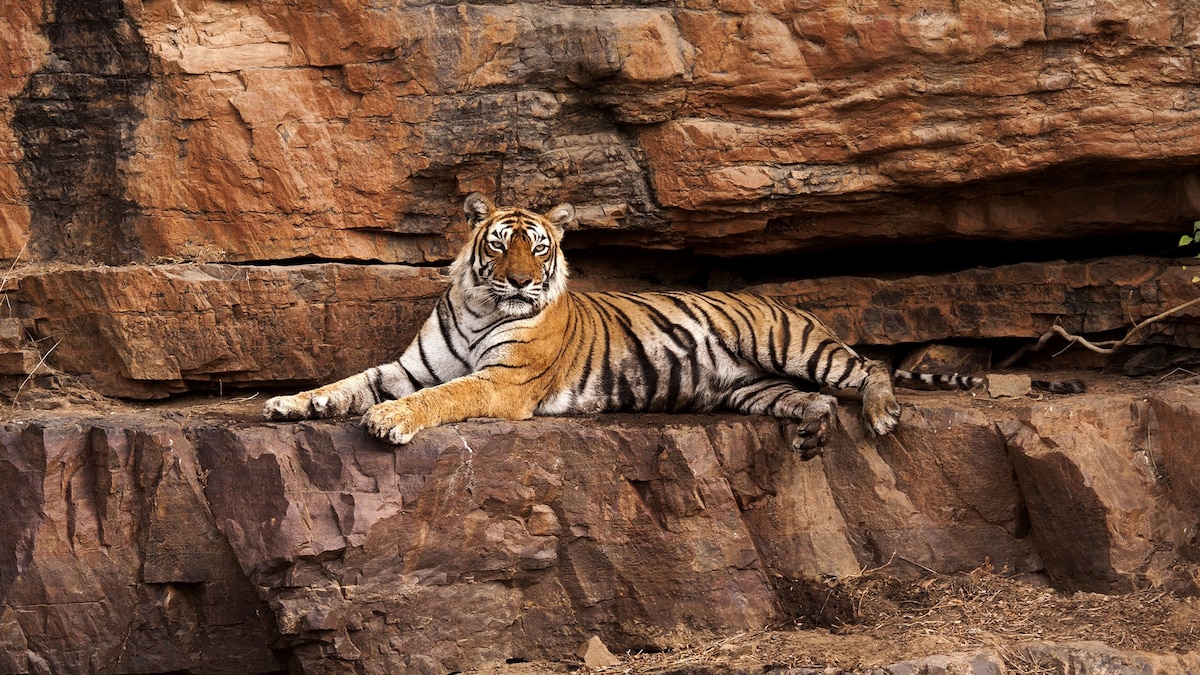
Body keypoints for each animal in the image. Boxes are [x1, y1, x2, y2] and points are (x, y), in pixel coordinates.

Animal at [264, 193, 945, 454]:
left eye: (538, 247)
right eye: (500, 244)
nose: (519, 282)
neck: (483, 305)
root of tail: (784, 302)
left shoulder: (500, 383)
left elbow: (442, 397)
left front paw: (388, 421)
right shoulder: (407, 368)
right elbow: (348, 383)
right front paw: (290, 404)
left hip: (788, 343)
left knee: (869, 366)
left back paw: (882, 413)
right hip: (755, 390)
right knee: (815, 399)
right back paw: (812, 430)